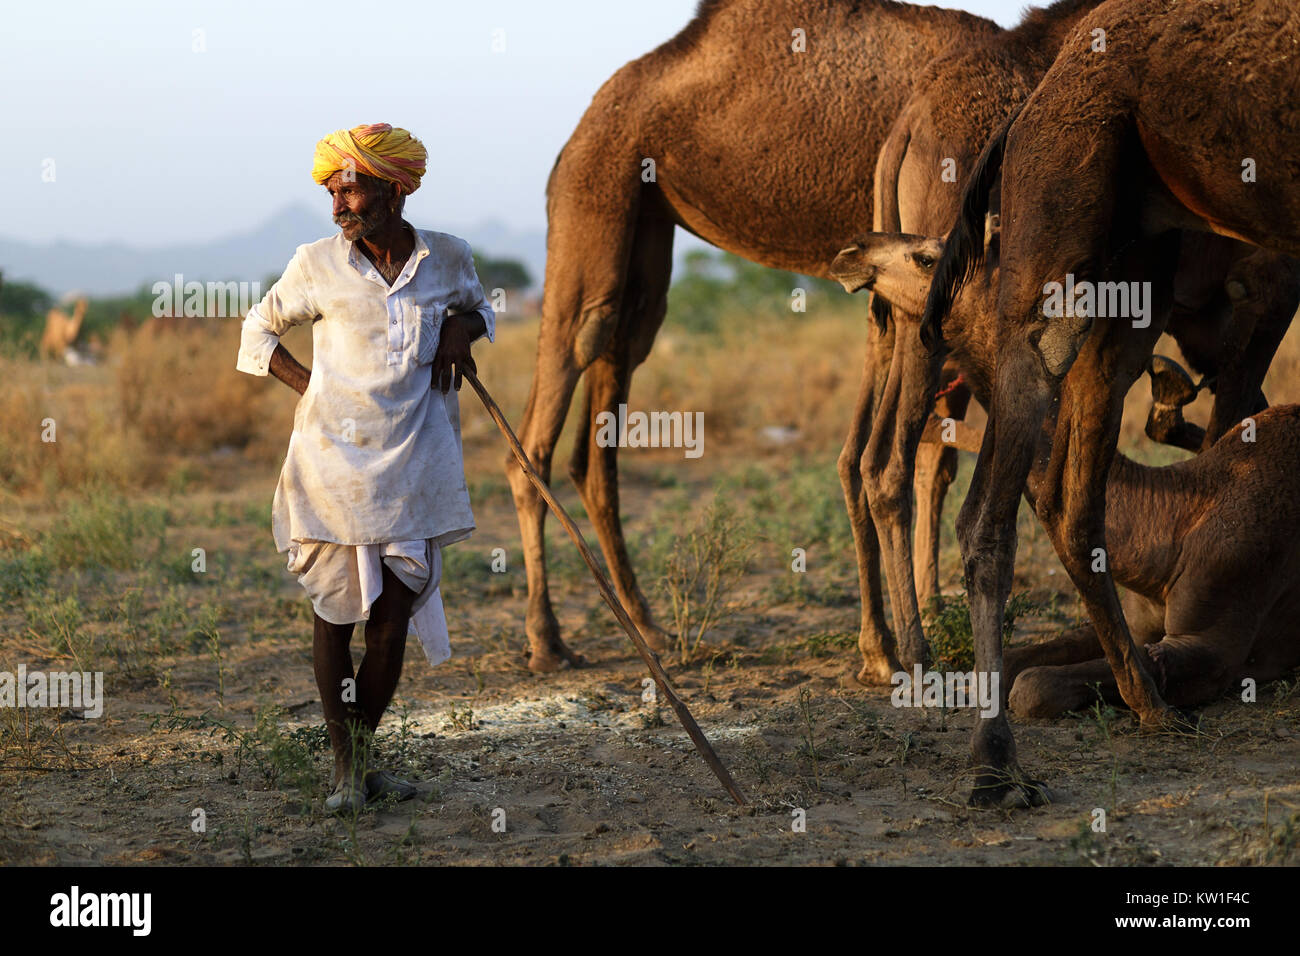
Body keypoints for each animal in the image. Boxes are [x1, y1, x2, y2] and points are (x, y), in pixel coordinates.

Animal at [508, 0, 1001, 672]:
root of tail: (575, 137)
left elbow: (932, 457)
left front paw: (921, 613)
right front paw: (896, 641)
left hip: (642, 224)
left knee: (604, 411)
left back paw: (648, 627)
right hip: (595, 188)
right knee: (561, 377)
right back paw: (547, 640)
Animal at [916, 0, 1300, 805]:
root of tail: (1031, 104)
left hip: (1134, 267)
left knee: (1074, 498)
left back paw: (1147, 705)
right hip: (1063, 216)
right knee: (992, 516)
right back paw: (996, 765)